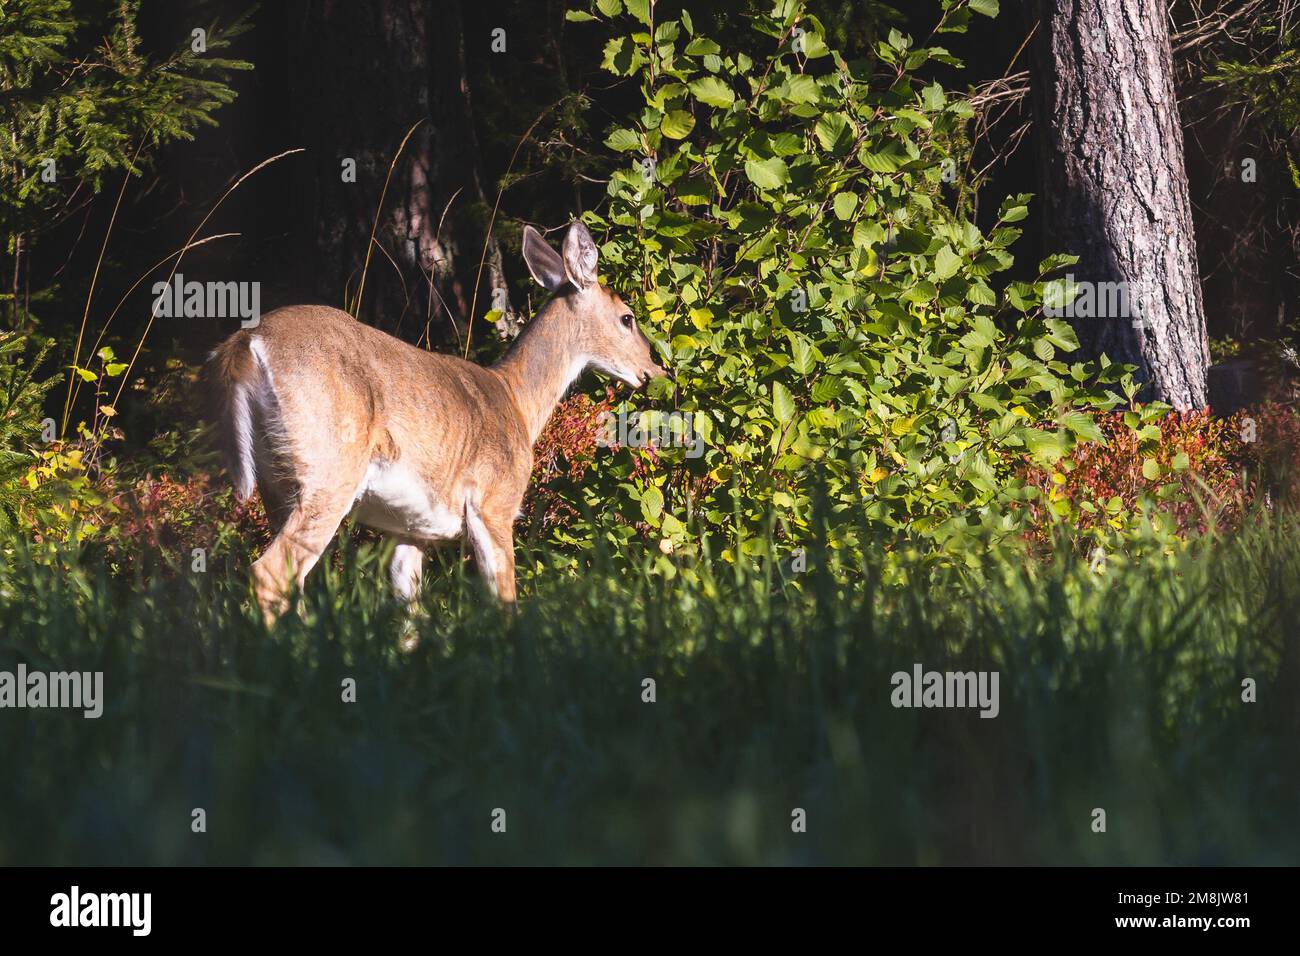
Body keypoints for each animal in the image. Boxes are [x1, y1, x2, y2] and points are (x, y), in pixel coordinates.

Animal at [205, 220, 667, 625]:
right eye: (627, 317)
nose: (654, 369)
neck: (517, 402)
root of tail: (246, 344)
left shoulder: (411, 529)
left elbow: (409, 608)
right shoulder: (493, 502)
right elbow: (504, 601)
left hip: (276, 483)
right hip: (330, 468)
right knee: (270, 573)